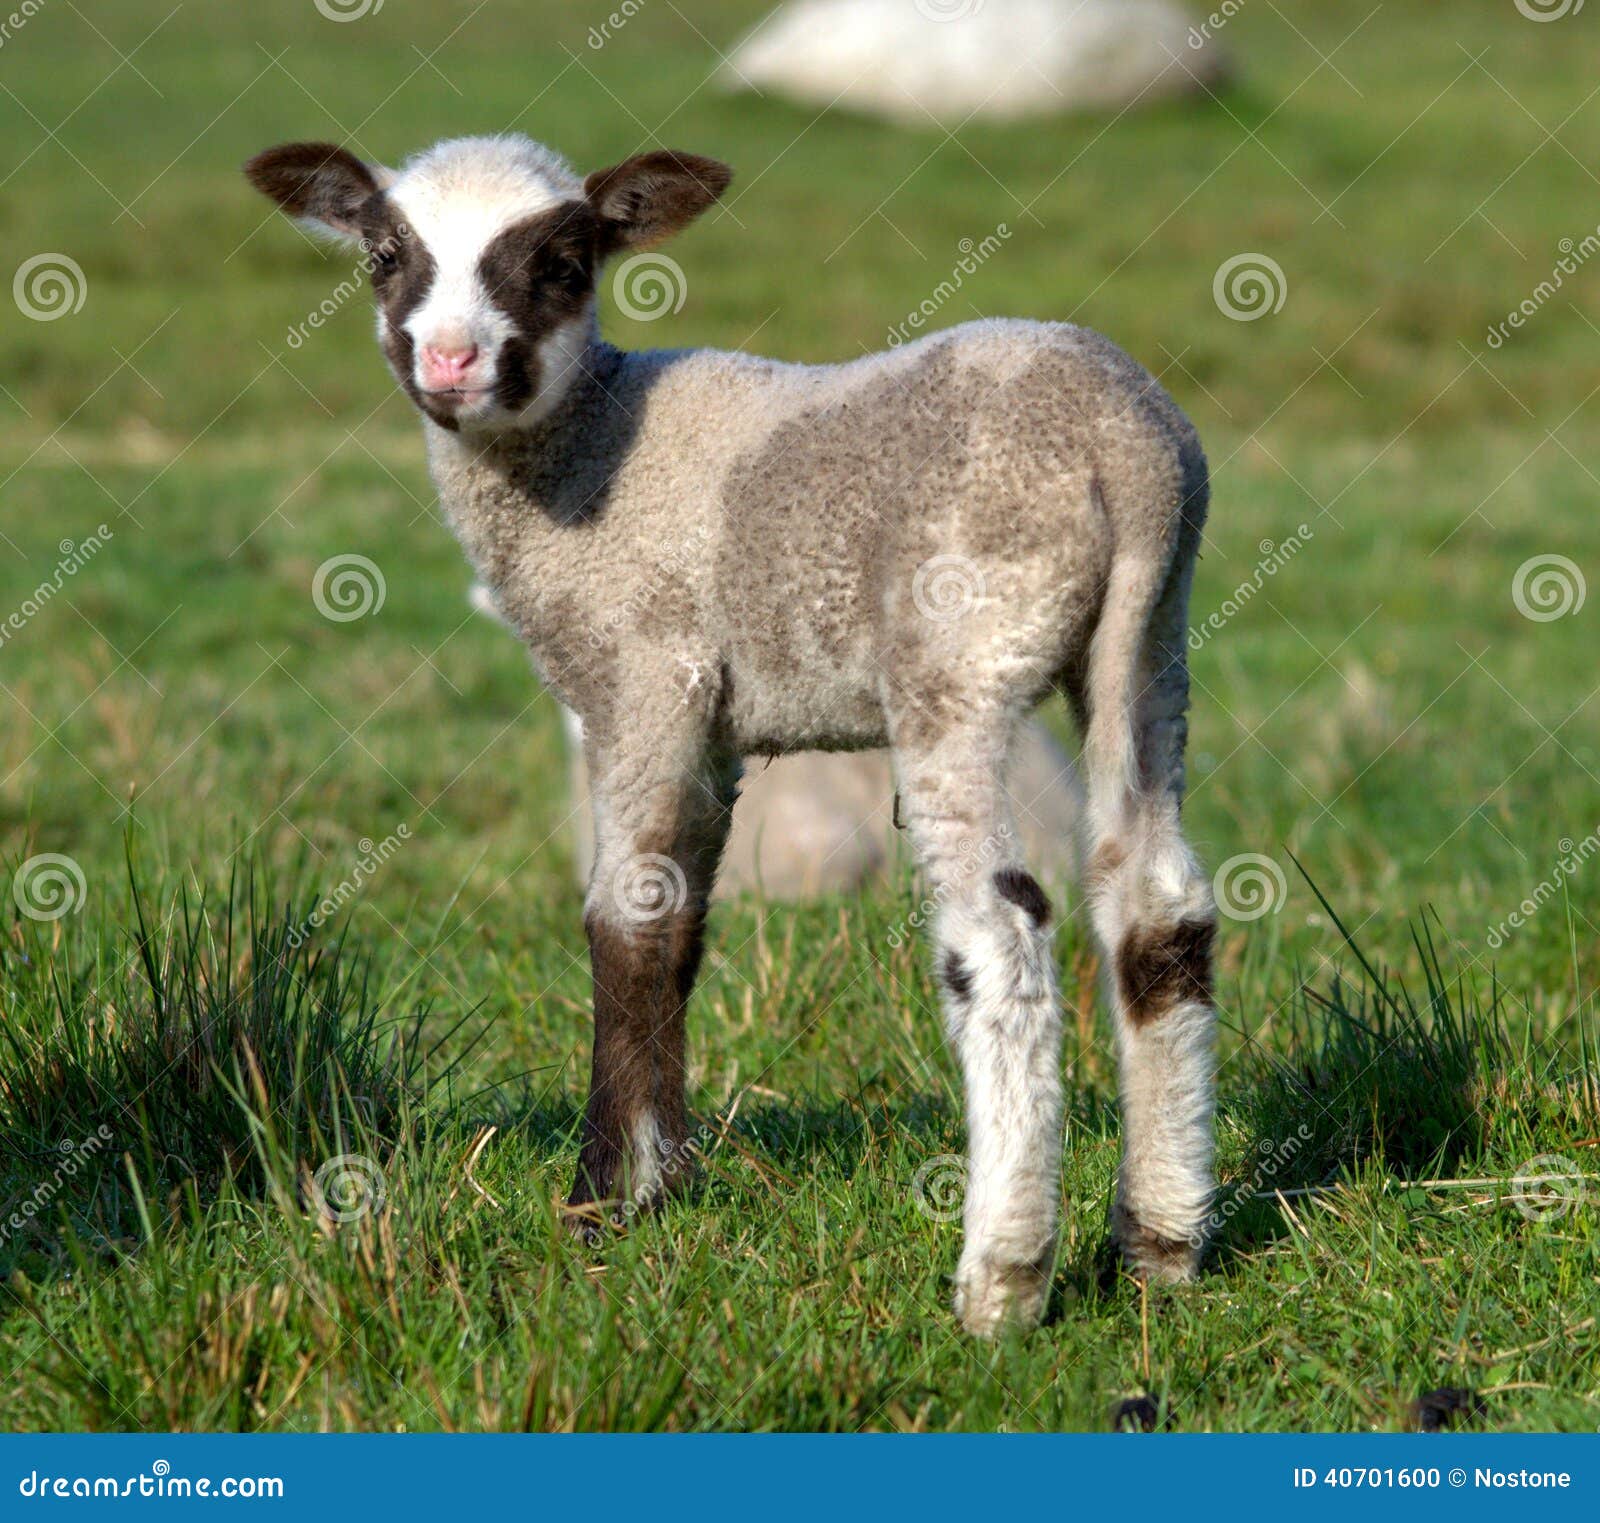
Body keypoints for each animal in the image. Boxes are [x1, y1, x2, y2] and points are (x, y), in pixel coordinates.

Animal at [244, 134, 1217, 1335]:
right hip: (1149, 638)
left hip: (960, 650)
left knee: (1001, 938)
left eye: (563, 263)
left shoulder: (645, 674)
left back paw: (1001, 1279)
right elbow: (681, 929)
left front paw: (598, 1203)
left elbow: (624, 921)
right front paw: (668, 1180)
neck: (589, 445)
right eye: (384, 255)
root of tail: (1121, 450)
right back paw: (1161, 1245)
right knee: (1156, 901)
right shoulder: (711, 728)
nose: (452, 363)